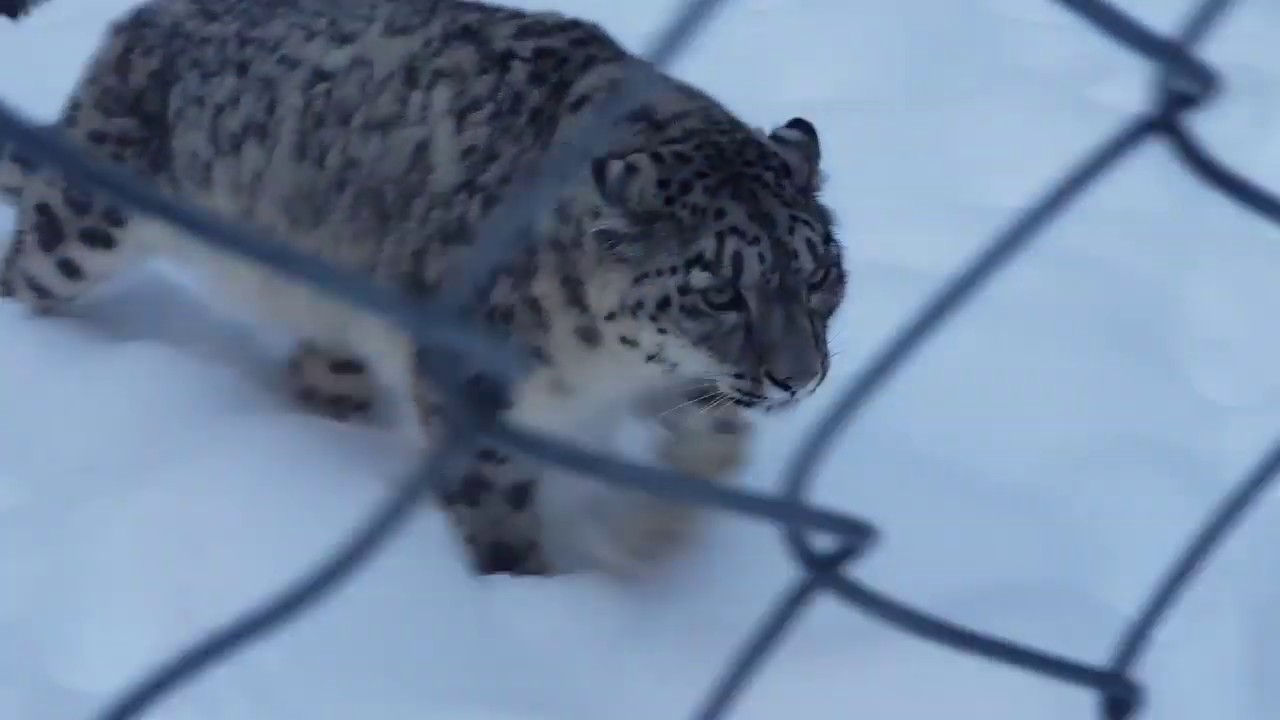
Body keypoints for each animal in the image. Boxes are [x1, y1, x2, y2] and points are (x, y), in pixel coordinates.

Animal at [0, 0, 848, 578]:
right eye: (720, 293)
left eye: (818, 275)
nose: (799, 378)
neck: (613, 373)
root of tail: (138, 20)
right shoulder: (469, 382)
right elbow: (496, 508)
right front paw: (532, 601)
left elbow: (718, 442)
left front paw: (649, 541)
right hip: (83, 224)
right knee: (28, 266)